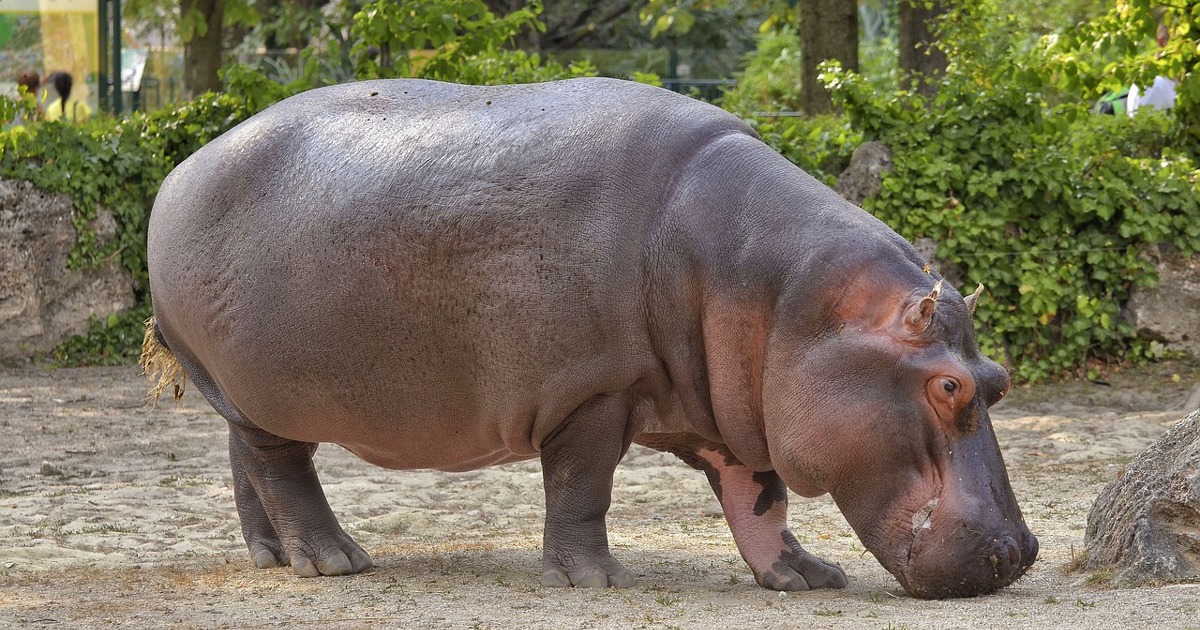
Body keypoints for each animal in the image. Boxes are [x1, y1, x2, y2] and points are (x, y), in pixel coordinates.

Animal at [141, 77, 1037, 599]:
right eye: (948, 386)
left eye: (997, 377)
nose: (1023, 551)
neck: (790, 298)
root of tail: (180, 171)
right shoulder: (594, 389)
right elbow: (583, 485)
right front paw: (595, 579)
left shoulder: (740, 407)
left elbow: (762, 496)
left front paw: (807, 577)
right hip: (261, 388)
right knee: (283, 471)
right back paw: (335, 560)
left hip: (243, 388)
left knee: (247, 462)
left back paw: (271, 557)